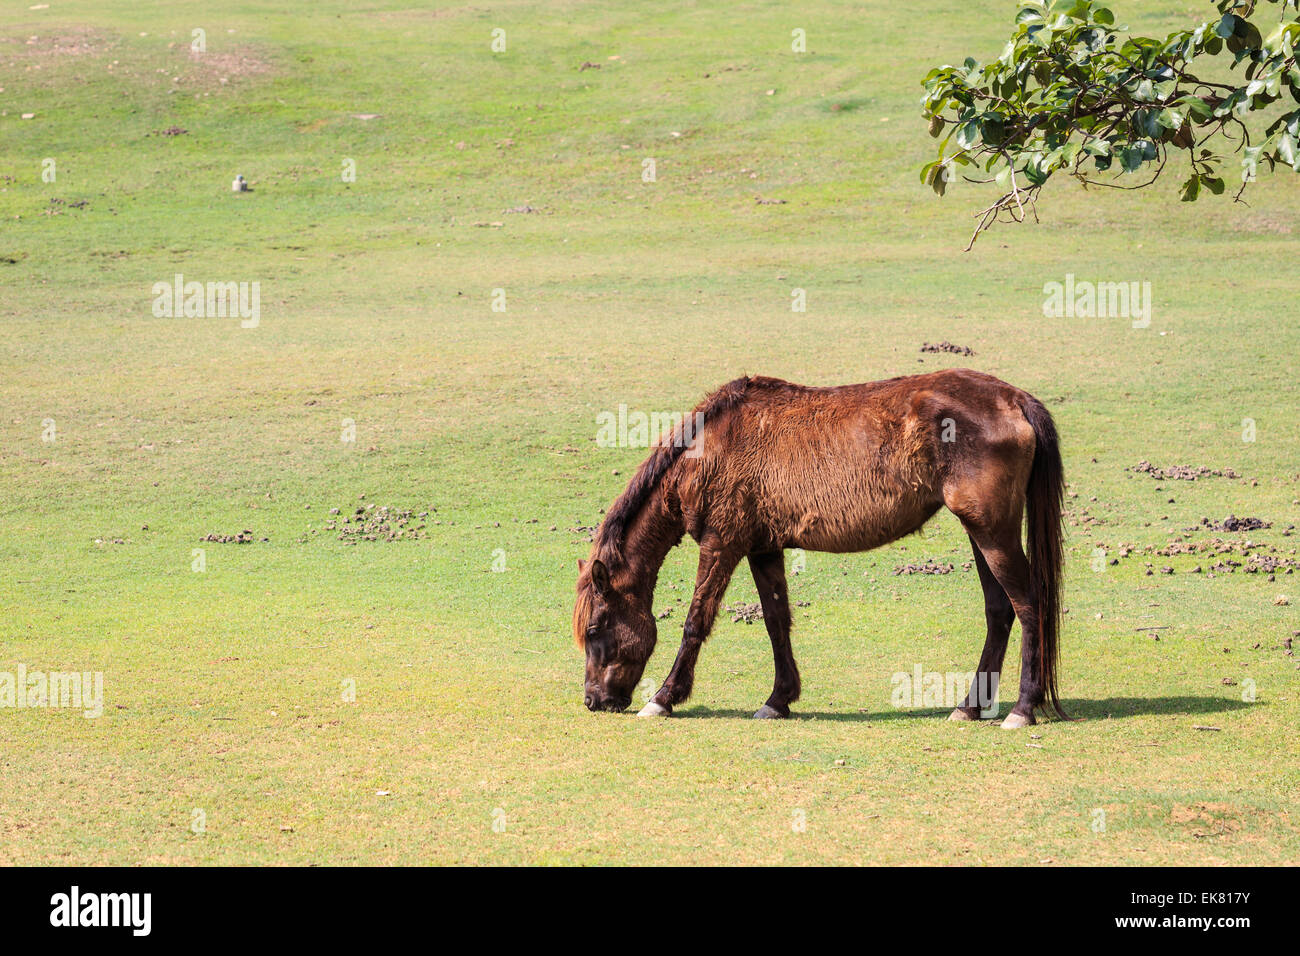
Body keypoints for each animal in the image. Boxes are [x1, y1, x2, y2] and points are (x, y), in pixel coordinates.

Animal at [573, 369, 1067, 729]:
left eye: (595, 630)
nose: (594, 700)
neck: (709, 448)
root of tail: (1013, 398)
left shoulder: (721, 544)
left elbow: (696, 621)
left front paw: (663, 698)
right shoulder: (763, 549)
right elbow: (776, 622)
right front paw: (778, 699)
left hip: (992, 533)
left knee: (1028, 605)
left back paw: (1023, 708)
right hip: (981, 533)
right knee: (1000, 612)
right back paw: (969, 705)